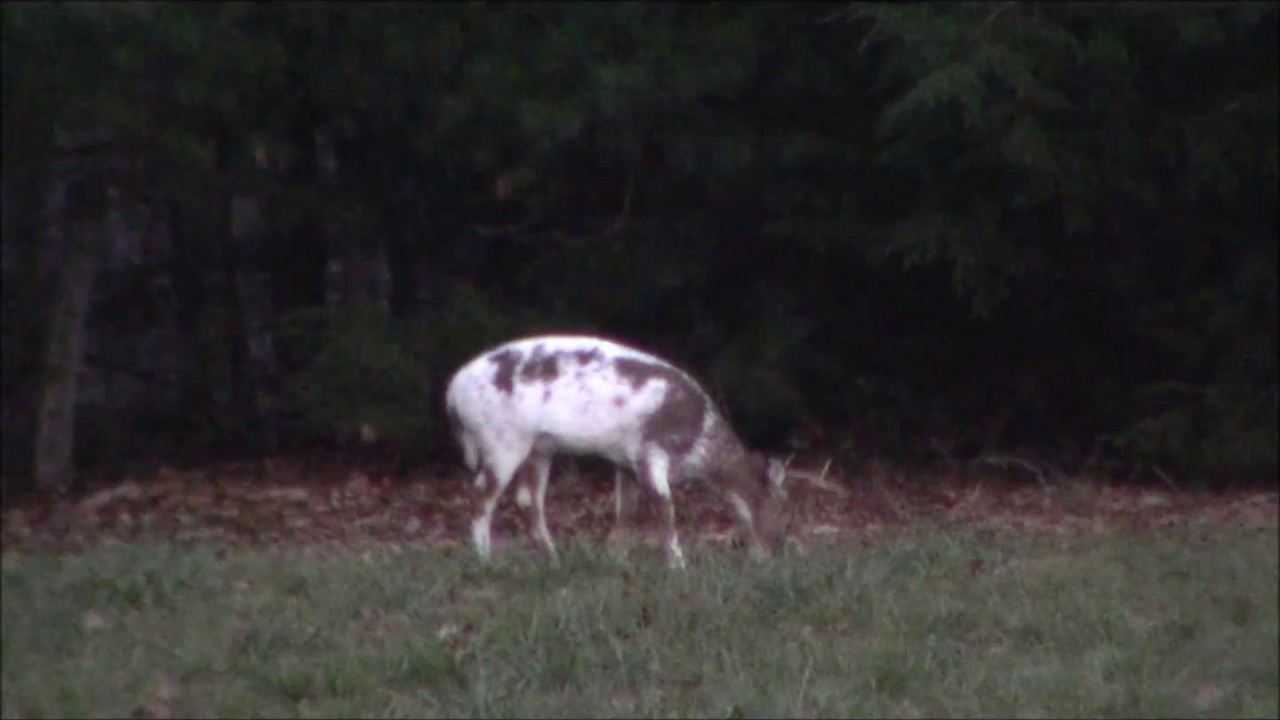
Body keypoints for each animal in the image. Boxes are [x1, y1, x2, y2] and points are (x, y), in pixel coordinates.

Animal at [444, 334, 789, 568]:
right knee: (481, 496)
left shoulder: (625, 461)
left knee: (528, 500)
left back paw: (553, 558)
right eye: (780, 520)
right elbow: (665, 508)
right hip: (502, 438)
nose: (775, 553)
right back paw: (485, 559)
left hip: (538, 448)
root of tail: (451, 396)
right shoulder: (649, 450)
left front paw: (616, 557)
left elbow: (627, 509)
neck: (698, 443)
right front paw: (677, 564)